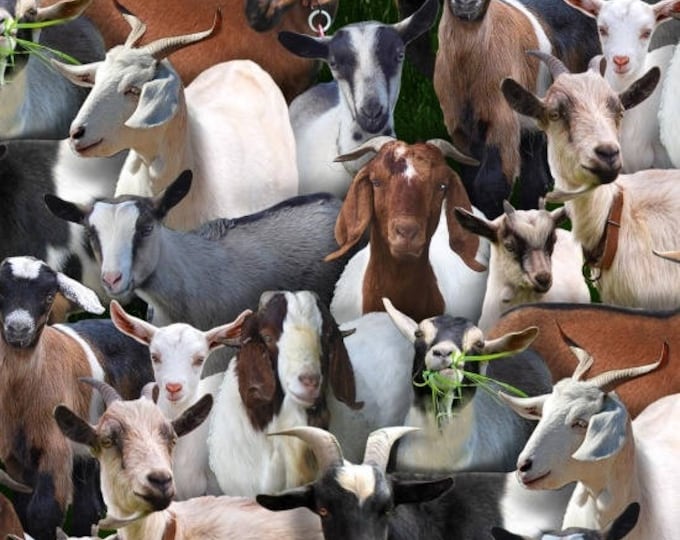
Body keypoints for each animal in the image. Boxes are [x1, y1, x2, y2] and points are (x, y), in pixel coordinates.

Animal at [0, 256, 152, 539]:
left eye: (49, 295)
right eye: (0, 291)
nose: (18, 328)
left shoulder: (55, 447)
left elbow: (43, 512)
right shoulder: (16, 458)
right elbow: (24, 509)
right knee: (89, 506)